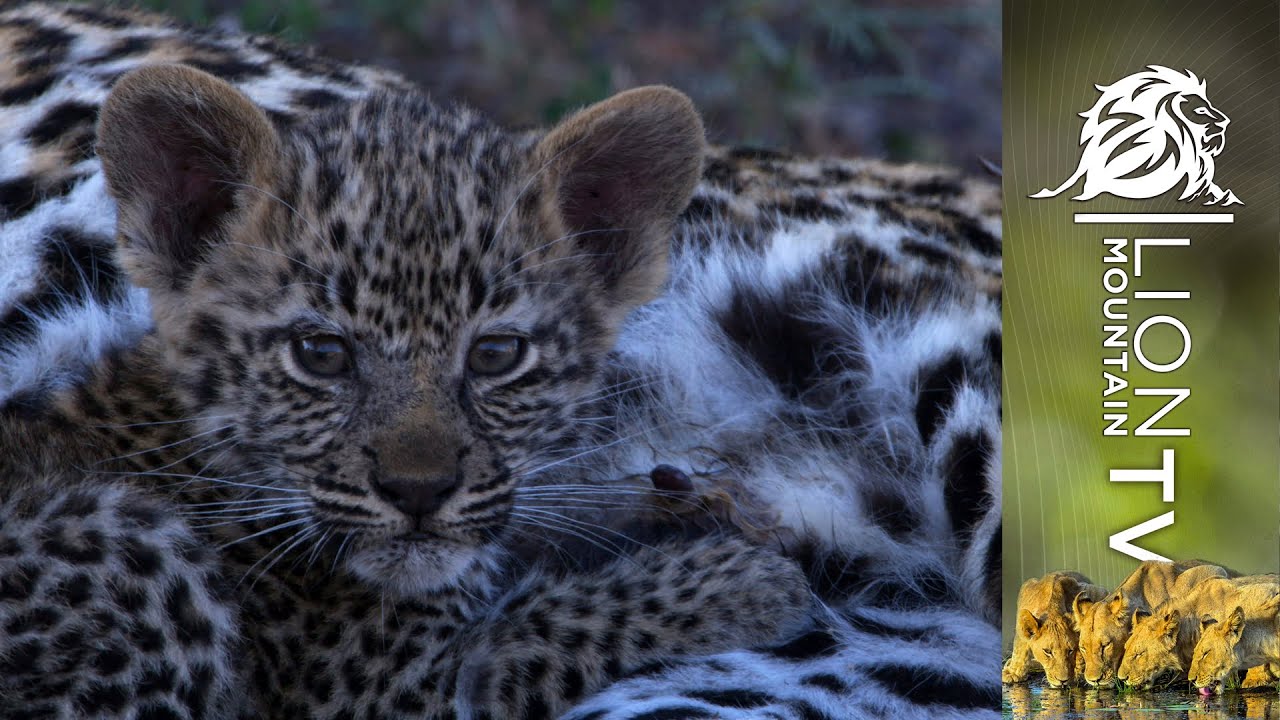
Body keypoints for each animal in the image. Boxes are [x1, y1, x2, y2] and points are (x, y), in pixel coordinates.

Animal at [0, 3, 1003, 719]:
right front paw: (738, 582)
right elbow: (533, 634)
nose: (417, 492)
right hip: (140, 553)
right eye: (319, 352)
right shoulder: (381, 687)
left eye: (496, 355)